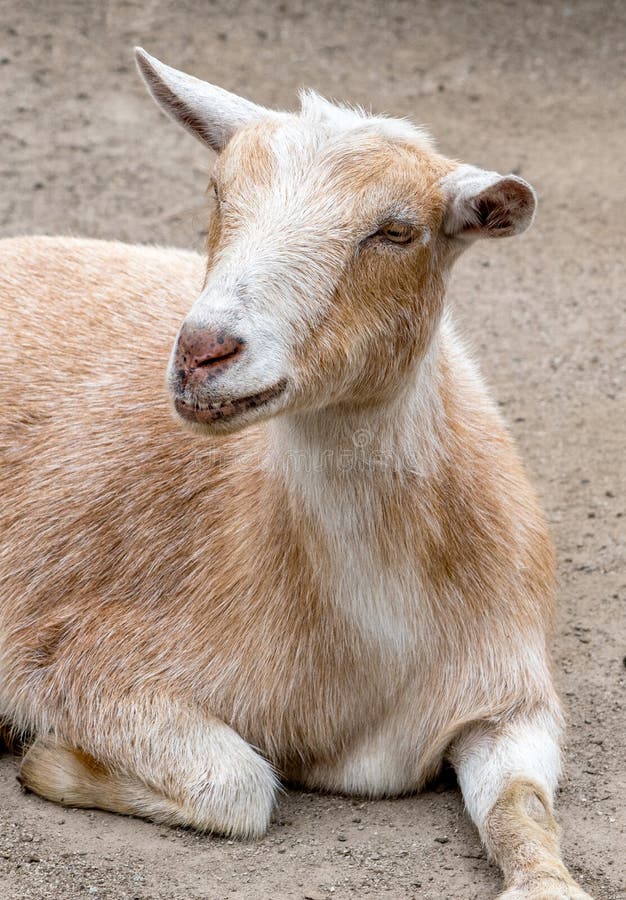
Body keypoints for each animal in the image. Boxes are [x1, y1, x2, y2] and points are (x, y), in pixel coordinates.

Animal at [0, 48, 592, 899]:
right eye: (218, 192)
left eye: (396, 230)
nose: (203, 351)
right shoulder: (79, 658)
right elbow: (238, 783)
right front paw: (49, 759)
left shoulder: (514, 693)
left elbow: (522, 804)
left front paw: (547, 883)